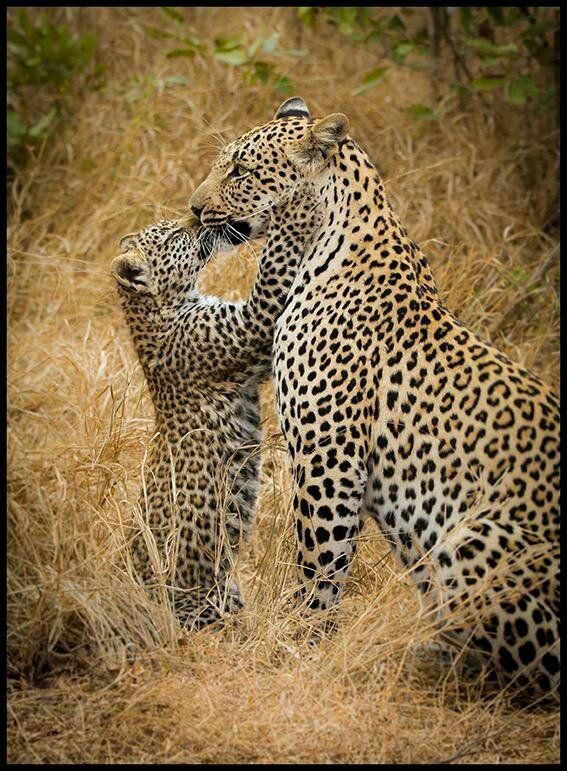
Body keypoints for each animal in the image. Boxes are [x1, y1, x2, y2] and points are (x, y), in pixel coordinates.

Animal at [112, 184, 322, 629]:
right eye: (176, 236)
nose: (195, 215)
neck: (154, 312)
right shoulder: (250, 328)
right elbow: (274, 271)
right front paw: (300, 213)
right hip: (205, 602)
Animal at [188, 96, 560, 694]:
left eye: (240, 171)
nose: (194, 209)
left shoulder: (330, 457)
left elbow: (320, 562)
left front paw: (301, 645)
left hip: (470, 539)